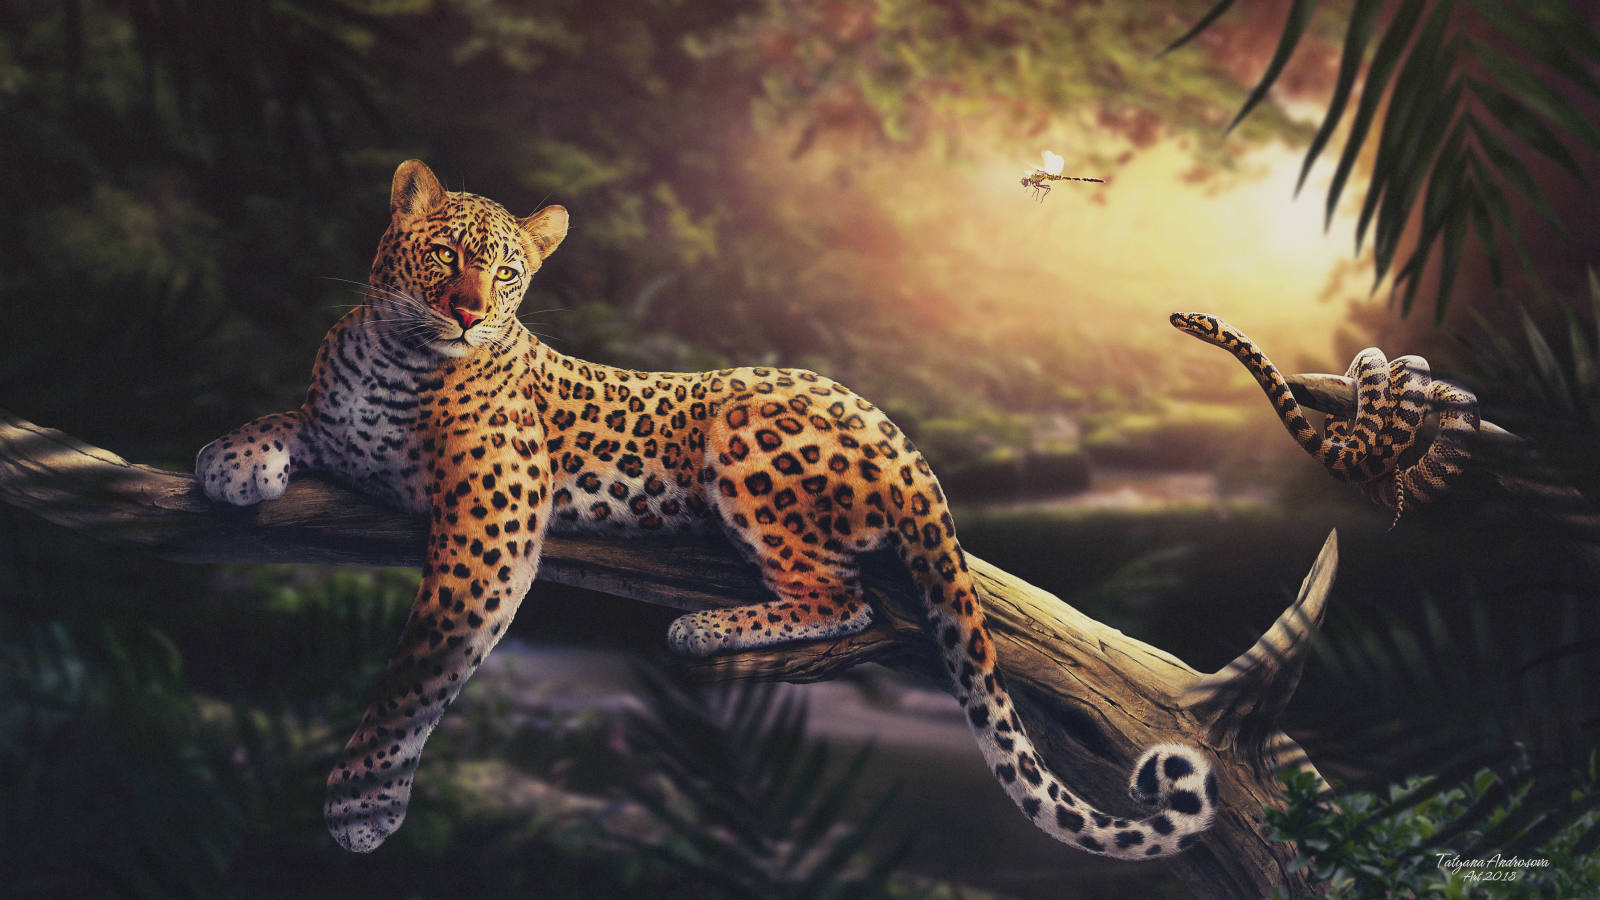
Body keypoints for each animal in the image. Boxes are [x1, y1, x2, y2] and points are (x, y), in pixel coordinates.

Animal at [196, 160, 1218, 859]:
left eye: (511, 273)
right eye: (446, 253)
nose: (469, 314)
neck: (396, 354)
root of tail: (901, 436)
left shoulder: (492, 522)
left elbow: (425, 662)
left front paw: (363, 805)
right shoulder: (343, 425)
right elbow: (291, 418)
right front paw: (231, 458)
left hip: (743, 436)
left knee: (840, 595)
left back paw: (704, 628)